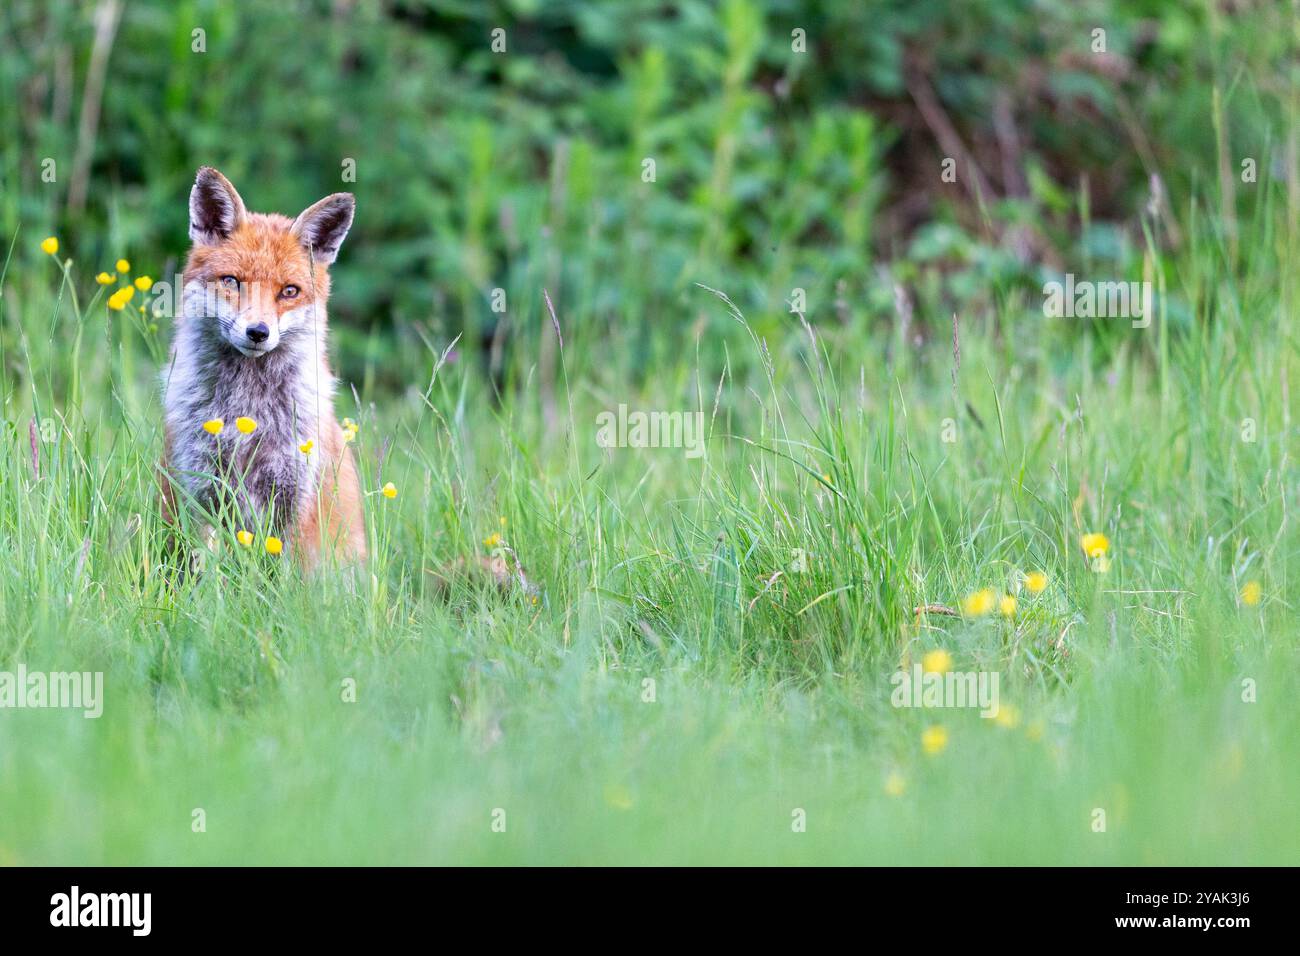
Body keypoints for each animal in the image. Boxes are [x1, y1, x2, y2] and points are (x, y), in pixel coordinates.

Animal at [160, 166, 365, 571]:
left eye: (289, 291)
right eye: (231, 281)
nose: (258, 332)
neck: (249, 413)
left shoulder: (296, 499)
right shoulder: (203, 488)